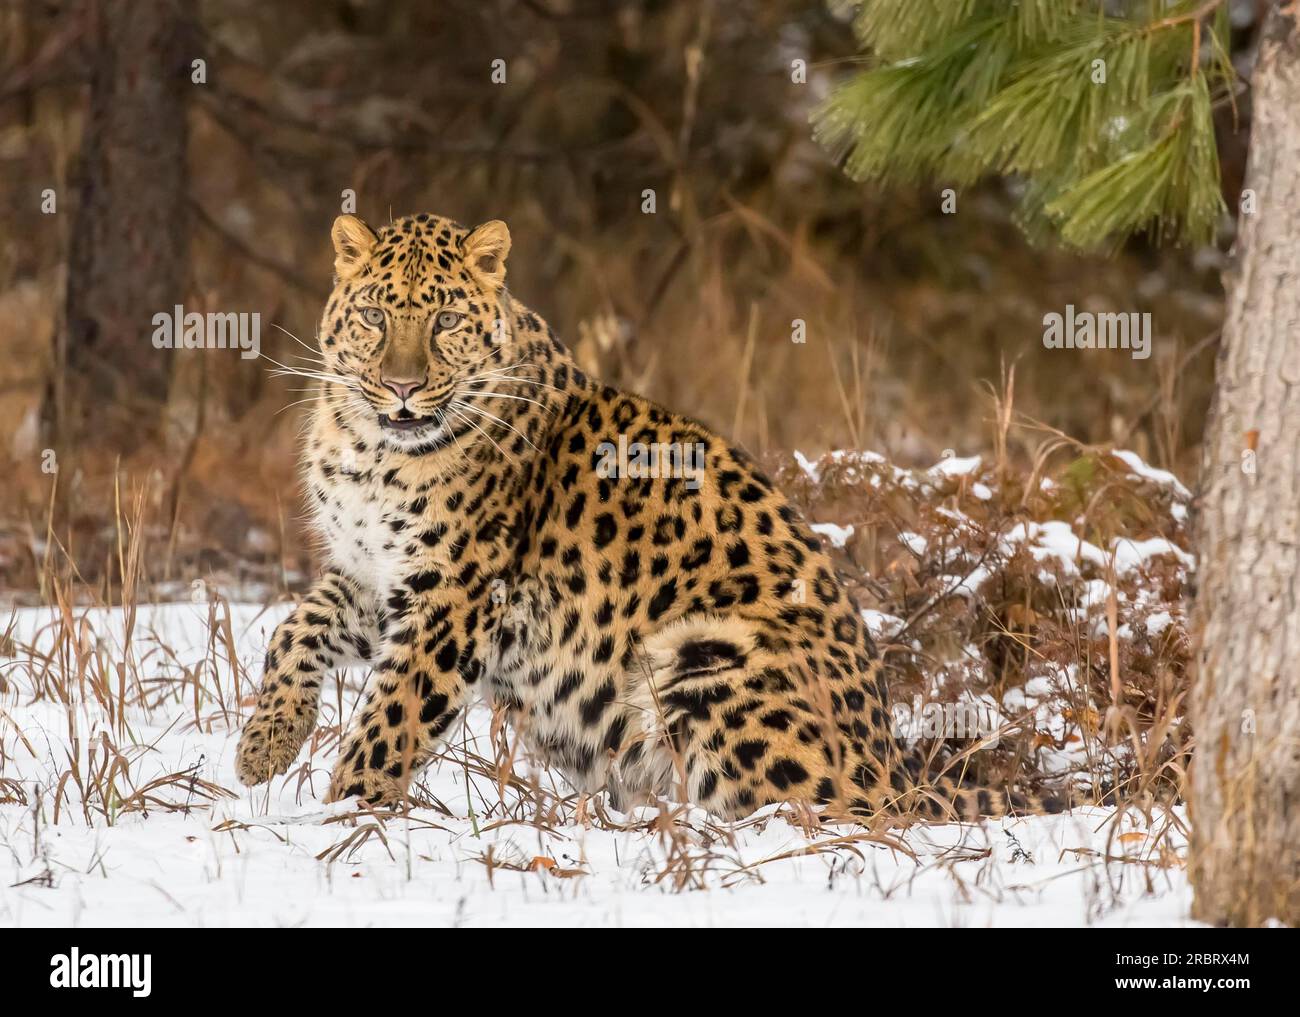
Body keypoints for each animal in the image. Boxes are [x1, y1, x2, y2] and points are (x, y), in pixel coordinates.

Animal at [234, 211, 1066, 823]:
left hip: (704, 651)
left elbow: (393, 718)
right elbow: (293, 628)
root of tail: (894, 761)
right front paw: (264, 744)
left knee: (813, 809)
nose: (402, 387)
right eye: (375, 316)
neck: (372, 448)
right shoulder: (373, 573)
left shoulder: (455, 593)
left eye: (444, 322)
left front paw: (342, 816)